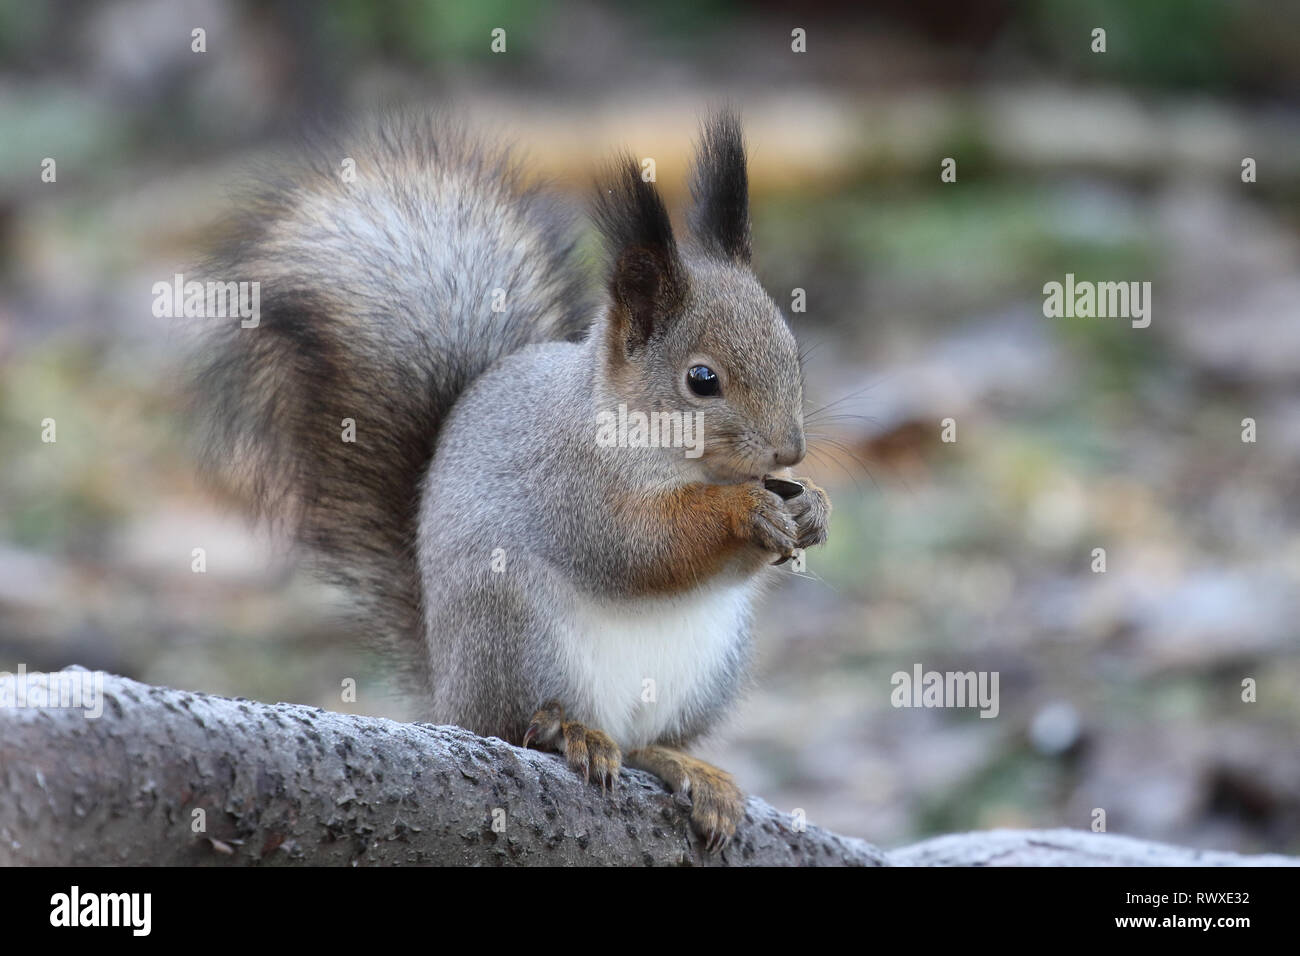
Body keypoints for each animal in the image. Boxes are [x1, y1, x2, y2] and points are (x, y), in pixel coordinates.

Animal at [192, 109, 831, 851]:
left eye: (791, 351)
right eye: (702, 380)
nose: (790, 450)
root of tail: (450, 698)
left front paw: (813, 508)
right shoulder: (570, 484)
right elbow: (641, 548)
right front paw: (742, 512)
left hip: (710, 668)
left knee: (646, 742)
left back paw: (685, 767)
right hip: (517, 627)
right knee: (517, 724)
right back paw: (566, 731)